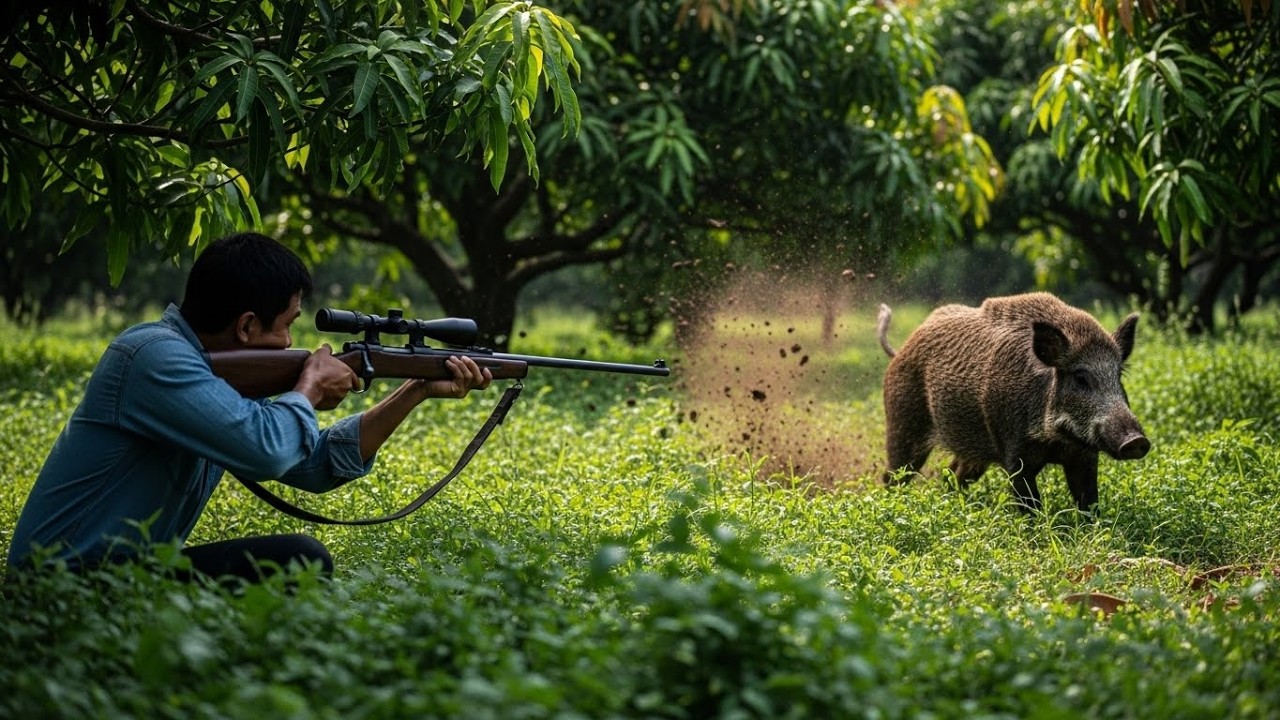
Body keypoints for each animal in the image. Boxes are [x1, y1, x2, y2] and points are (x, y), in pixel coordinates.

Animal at [877, 292, 1150, 512]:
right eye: (1081, 378)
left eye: (1118, 376)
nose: (1137, 441)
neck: (1055, 440)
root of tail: (899, 351)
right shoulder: (1015, 456)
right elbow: (1029, 505)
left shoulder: (1084, 456)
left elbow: (1089, 503)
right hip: (902, 424)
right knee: (892, 476)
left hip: (972, 452)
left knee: (951, 476)